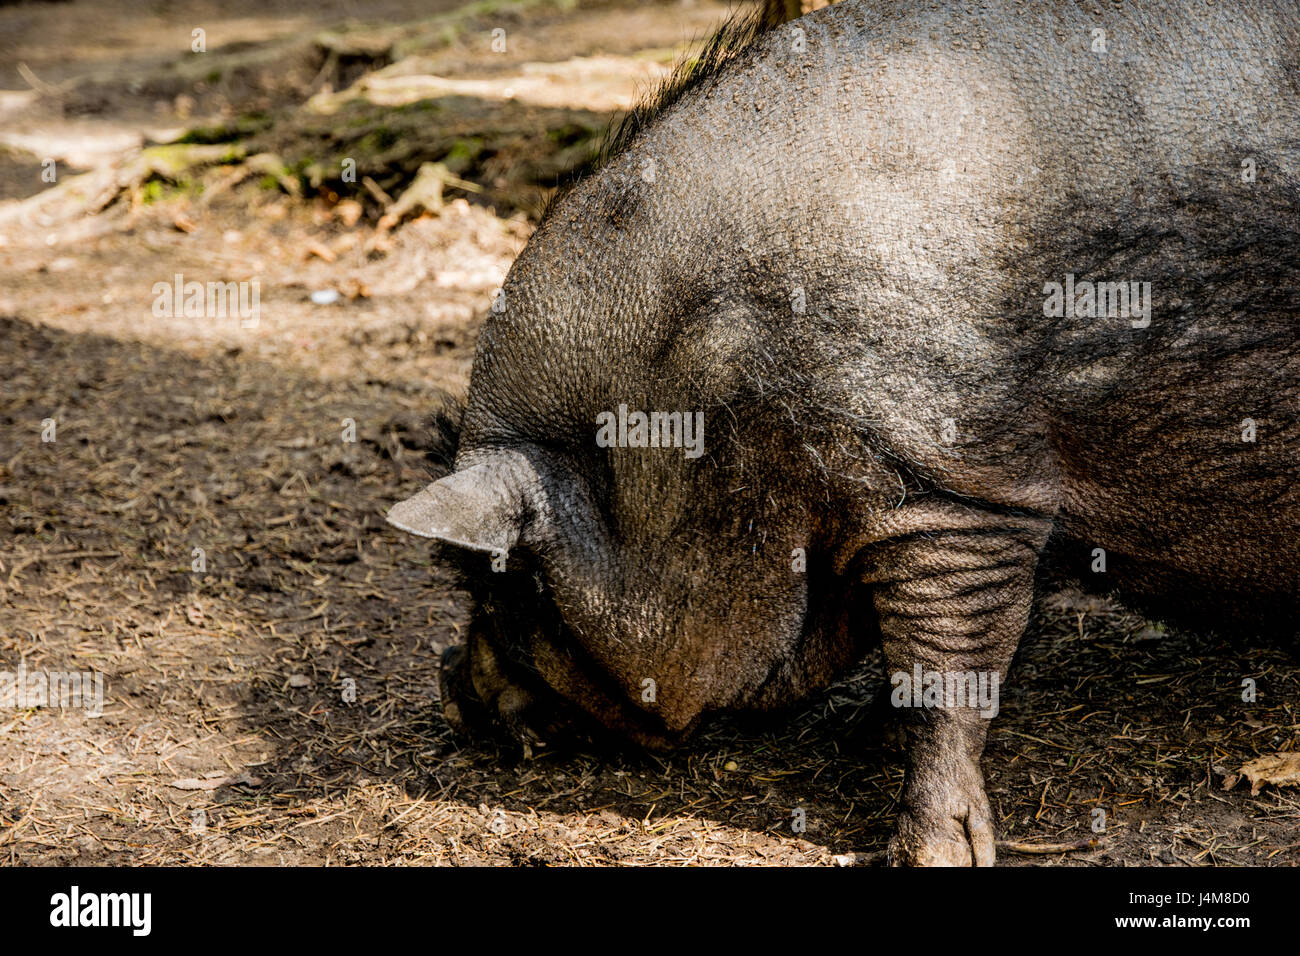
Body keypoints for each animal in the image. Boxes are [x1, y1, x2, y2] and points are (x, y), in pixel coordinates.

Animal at [388, 0, 1300, 865]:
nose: (449, 689)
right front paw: (857, 736)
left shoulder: (954, 490)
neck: (710, 392)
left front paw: (928, 853)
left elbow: (943, 671)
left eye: (512, 583)